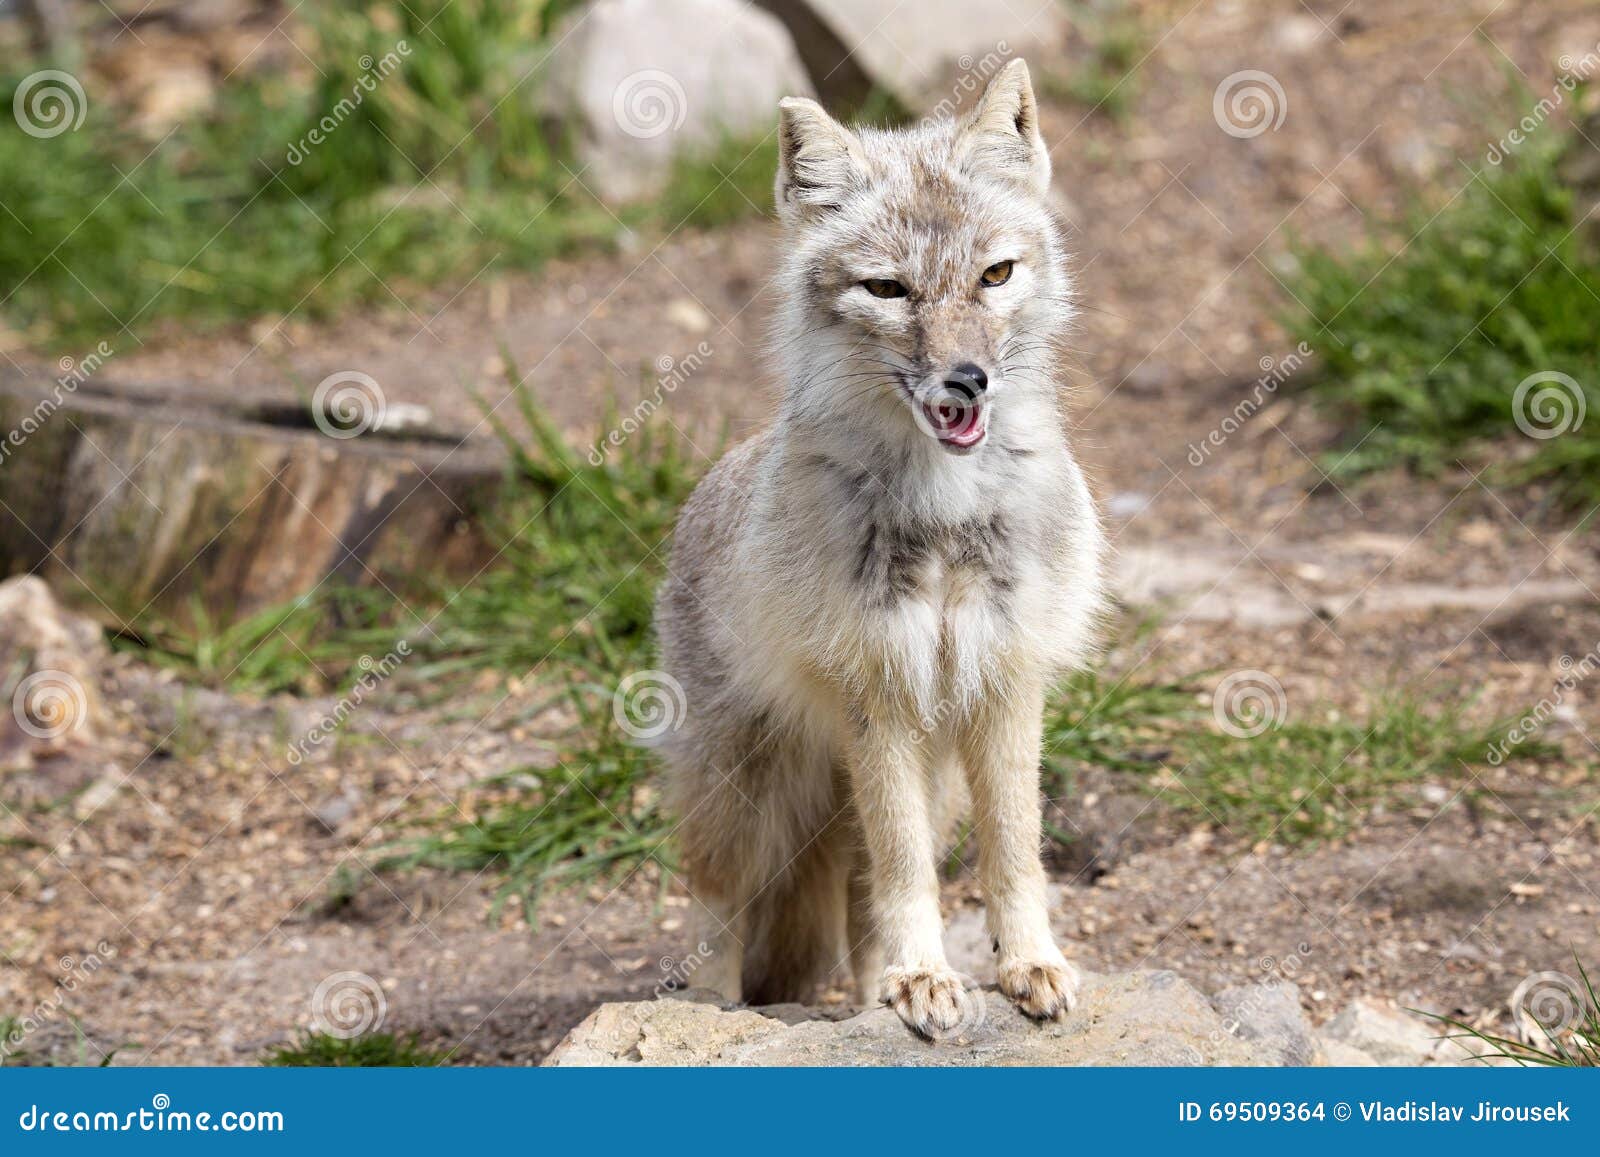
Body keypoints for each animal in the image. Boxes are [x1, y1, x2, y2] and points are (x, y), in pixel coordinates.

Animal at [653, 58, 1106, 1039]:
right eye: (889, 290)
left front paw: (1026, 963)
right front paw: (926, 975)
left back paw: (874, 997)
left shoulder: (1008, 682)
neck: (945, 515)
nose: (967, 379)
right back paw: (714, 1015)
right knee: (717, 912)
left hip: (912, 790)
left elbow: (1014, 850)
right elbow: (907, 874)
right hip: (744, 805)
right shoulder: (878, 694)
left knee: (861, 912)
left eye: (995, 274)